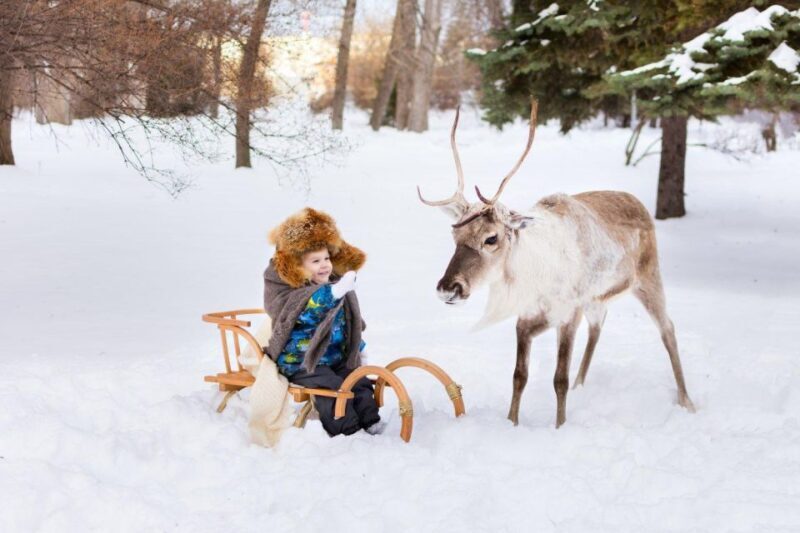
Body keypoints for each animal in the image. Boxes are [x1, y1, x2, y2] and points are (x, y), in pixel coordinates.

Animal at [417, 101, 695, 428]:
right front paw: (511, 422)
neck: (535, 277)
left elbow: (558, 379)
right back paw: (581, 385)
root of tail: (638, 203)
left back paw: (687, 402)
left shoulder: (567, 313)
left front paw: (560, 425)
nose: (449, 288)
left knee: (668, 329)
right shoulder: (527, 318)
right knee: (599, 325)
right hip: (595, 298)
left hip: (648, 278)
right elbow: (519, 375)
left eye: (491, 238)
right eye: (454, 234)